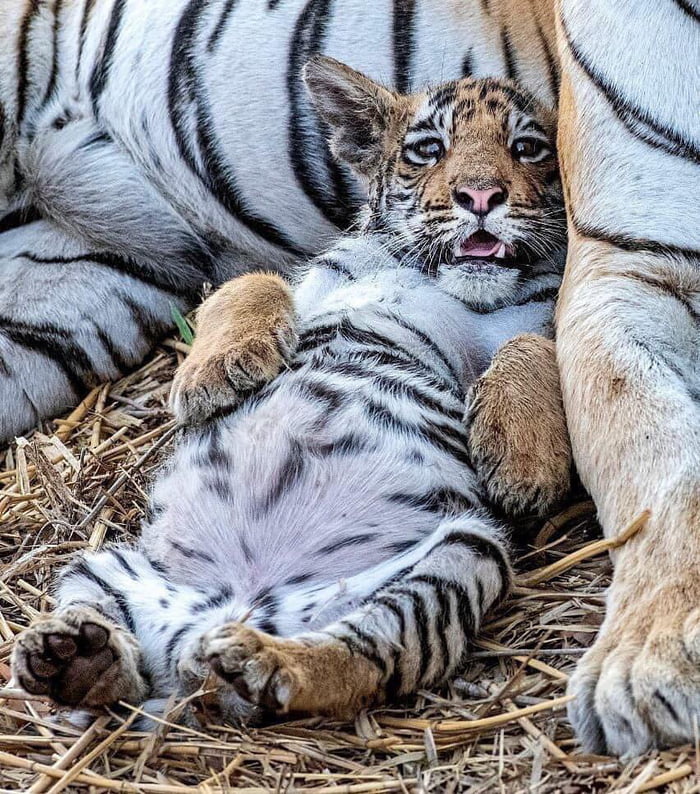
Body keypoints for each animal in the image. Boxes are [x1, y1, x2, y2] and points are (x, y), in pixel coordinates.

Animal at [10, 61, 570, 725]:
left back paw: (266, 662)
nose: (481, 197)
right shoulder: (314, 282)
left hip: (460, 555)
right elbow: (254, 279)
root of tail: (232, 608)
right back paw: (72, 656)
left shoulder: (534, 319)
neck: (433, 277)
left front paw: (522, 465)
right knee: (118, 660)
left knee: (361, 656)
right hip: (101, 568)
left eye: (528, 148)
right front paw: (211, 377)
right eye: (429, 149)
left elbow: (535, 347)